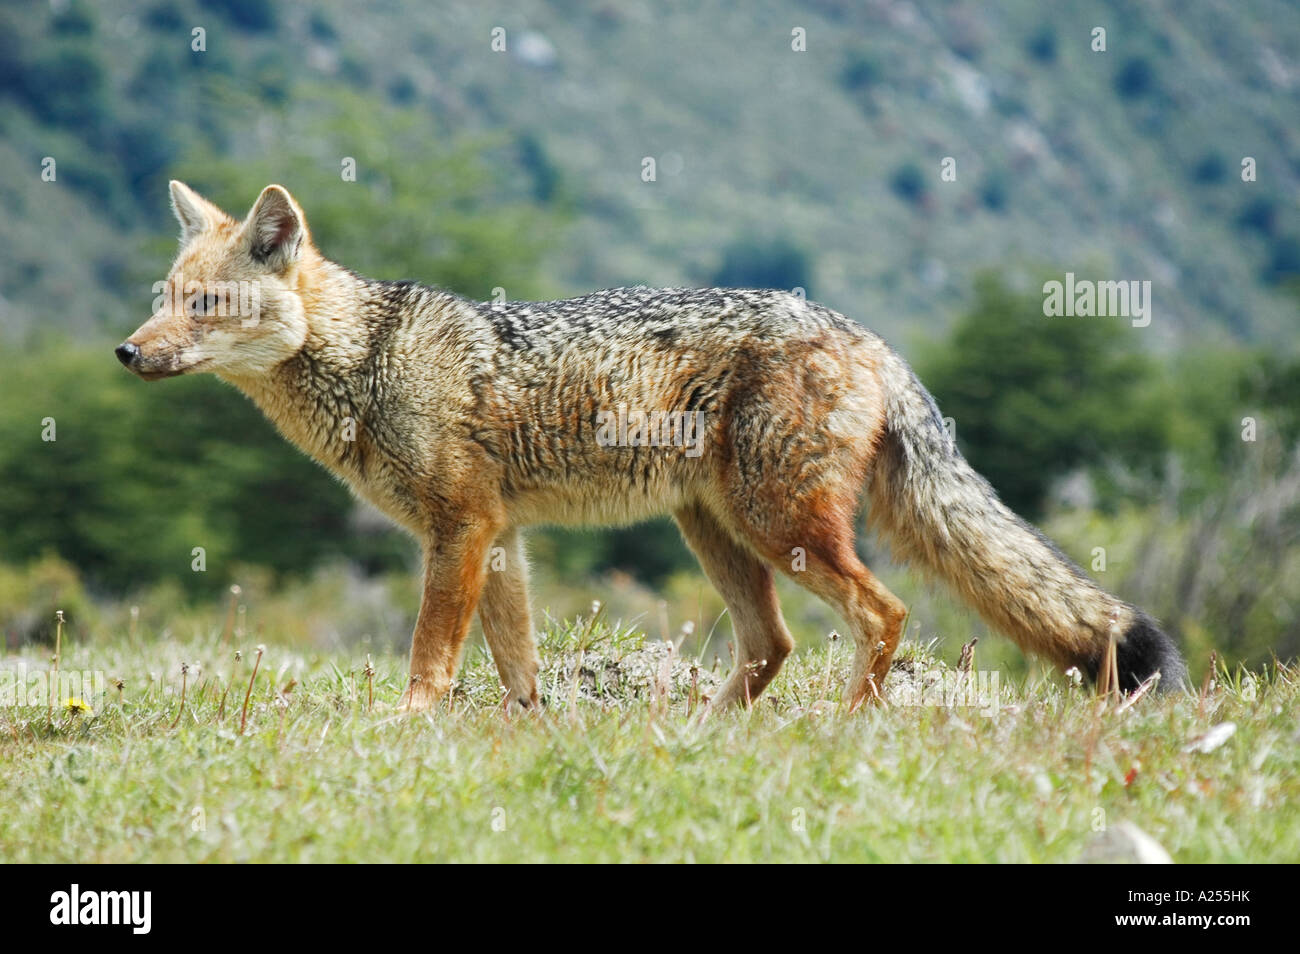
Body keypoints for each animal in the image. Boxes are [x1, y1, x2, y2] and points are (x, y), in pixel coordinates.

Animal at [117, 181, 1187, 712]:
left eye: (205, 305)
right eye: (164, 298)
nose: (126, 352)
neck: (370, 357)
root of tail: (863, 332)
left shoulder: (460, 532)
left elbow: (430, 658)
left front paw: (409, 732)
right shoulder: (501, 540)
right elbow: (519, 671)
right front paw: (525, 741)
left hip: (779, 529)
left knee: (879, 615)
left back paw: (842, 731)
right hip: (718, 535)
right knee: (774, 645)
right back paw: (709, 738)